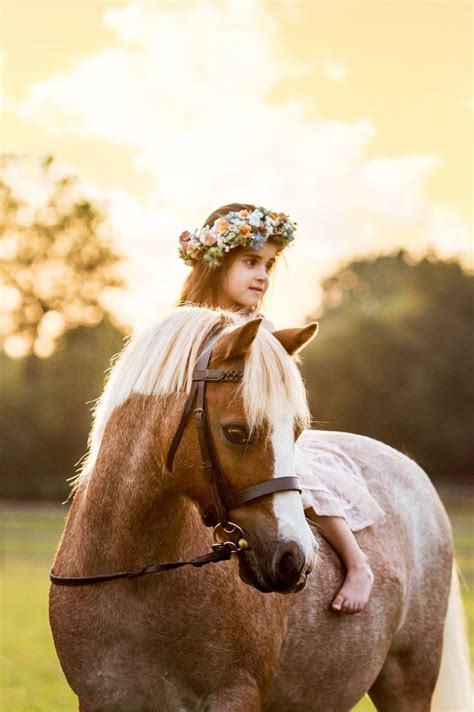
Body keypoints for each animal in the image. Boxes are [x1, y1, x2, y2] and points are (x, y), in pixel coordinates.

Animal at [49, 306, 471, 711]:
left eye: (297, 431)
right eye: (236, 432)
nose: (294, 559)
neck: (137, 576)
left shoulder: (233, 695)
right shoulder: (103, 698)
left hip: (408, 681)